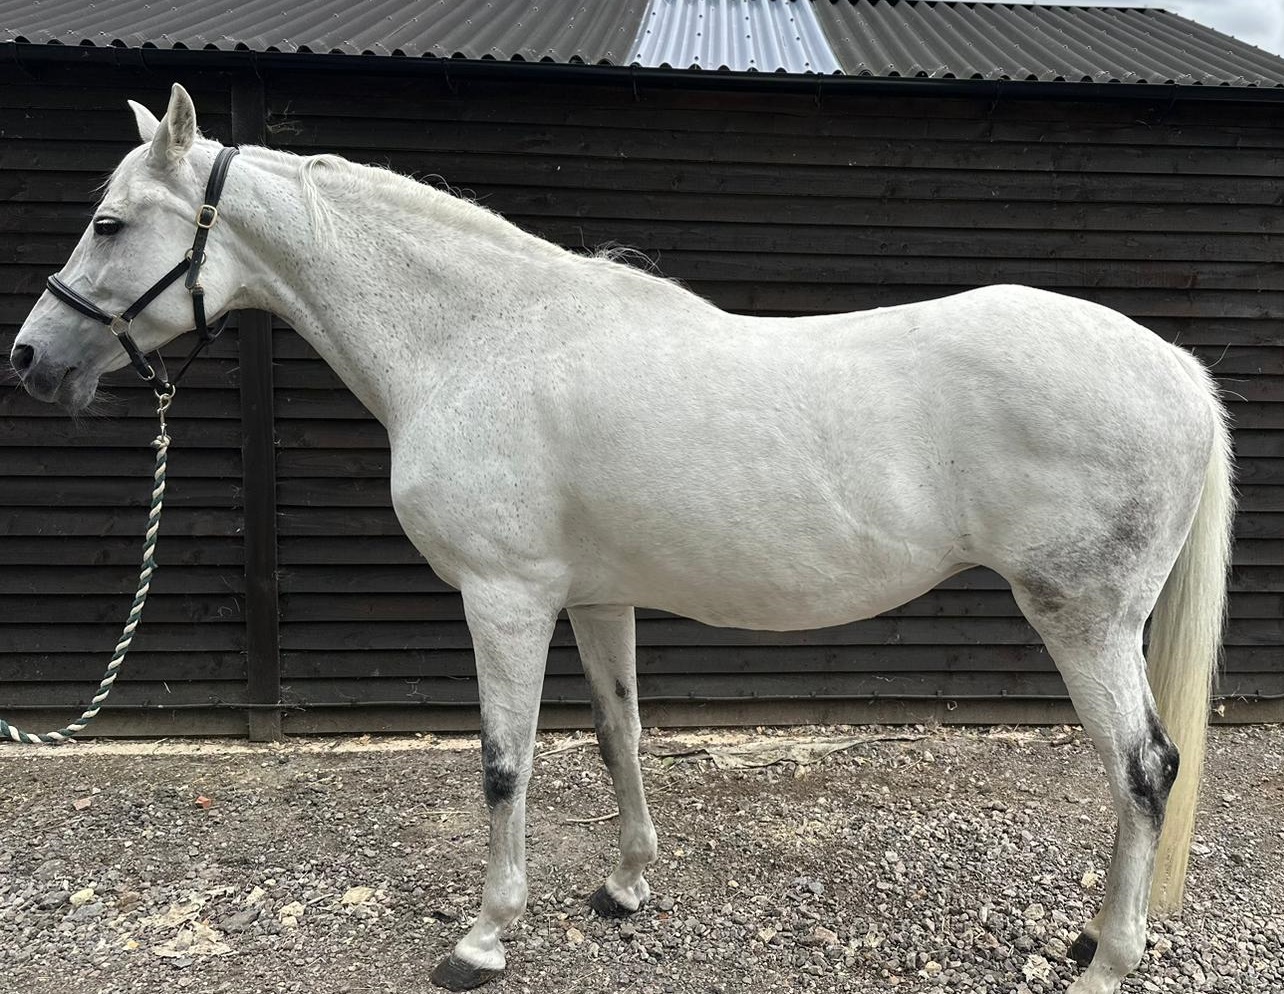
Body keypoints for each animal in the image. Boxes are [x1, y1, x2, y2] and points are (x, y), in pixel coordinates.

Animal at [10, 84, 1233, 994]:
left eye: (110, 223)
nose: (30, 359)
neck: (478, 342)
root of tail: (1177, 369)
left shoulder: (502, 596)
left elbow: (504, 764)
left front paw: (482, 938)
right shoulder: (595, 597)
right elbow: (618, 736)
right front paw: (626, 887)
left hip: (1081, 617)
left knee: (1143, 770)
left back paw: (1105, 962)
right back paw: (1091, 936)